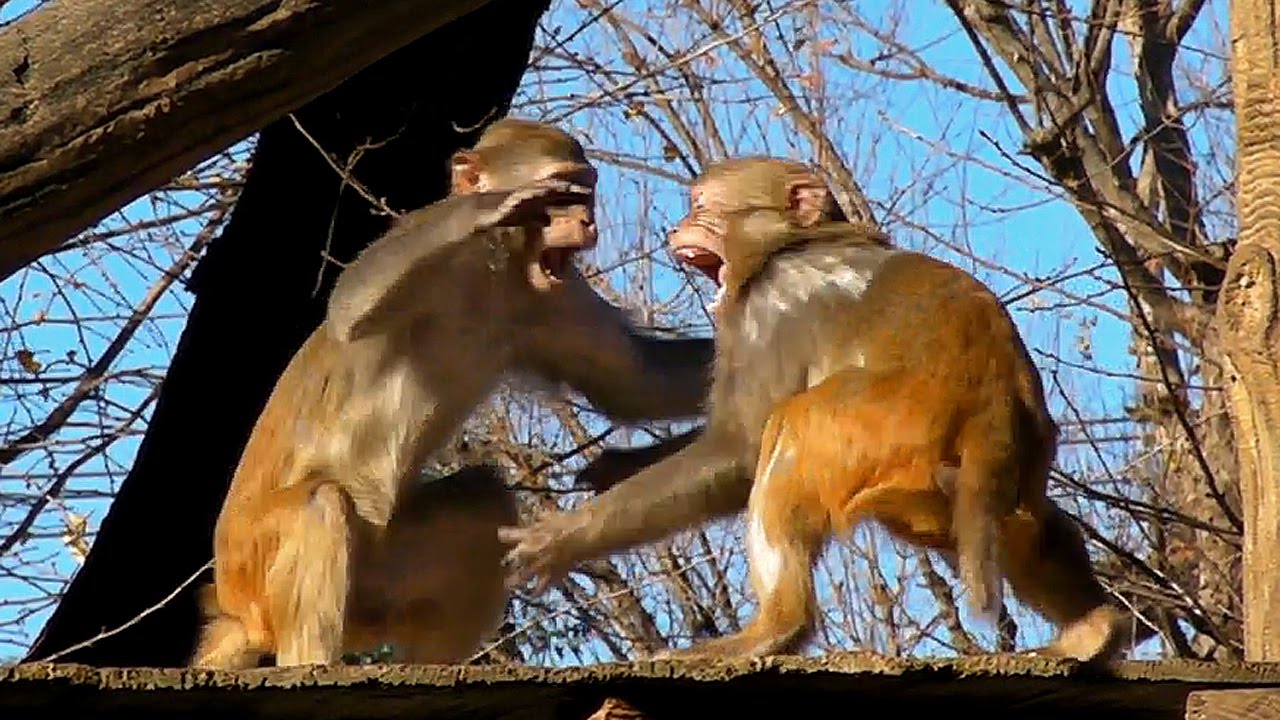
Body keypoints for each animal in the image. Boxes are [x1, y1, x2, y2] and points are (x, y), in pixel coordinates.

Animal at [191, 118, 715, 670]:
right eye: (563, 192)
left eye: (585, 193)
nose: (587, 221)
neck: (489, 268)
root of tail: (233, 607)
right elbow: (352, 306)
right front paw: (487, 206)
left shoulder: (546, 300)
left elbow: (640, 383)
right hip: (252, 567)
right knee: (321, 504)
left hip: (371, 587)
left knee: (484, 504)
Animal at [499, 156, 1131, 663]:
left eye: (702, 204)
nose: (677, 227)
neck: (795, 241)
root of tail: (991, 402)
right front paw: (617, 467)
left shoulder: (771, 307)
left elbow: (740, 448)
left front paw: (562, 538)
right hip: (972, 466)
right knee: (1014, 521)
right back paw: (1093, 629)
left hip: (876, 426)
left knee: (794, 427)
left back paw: (775, 629)